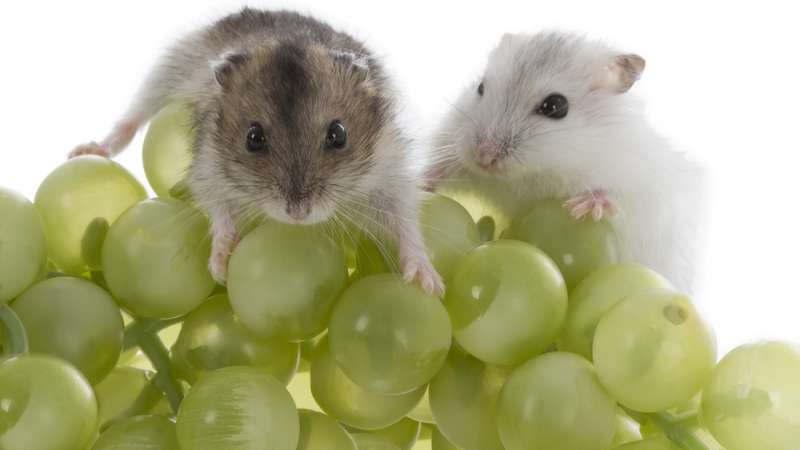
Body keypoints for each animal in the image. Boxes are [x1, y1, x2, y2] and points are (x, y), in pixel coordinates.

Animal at [69, 8, 443, 294]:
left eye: (339, 135)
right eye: (253, 138)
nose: (297, 213)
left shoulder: (390, 171)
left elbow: (406, 221)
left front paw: (428, 285)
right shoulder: (208, 166)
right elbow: (218, 208)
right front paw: (220, 264)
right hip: (167, 71)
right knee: (132, 119)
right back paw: (88, 150)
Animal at [428, 32, 706, 291]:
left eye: (555, 105)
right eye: (480, 88)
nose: (484, 158)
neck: (539, 171)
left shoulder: (642, 191)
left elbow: (615, 195)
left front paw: (583, 207)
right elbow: (451, 169)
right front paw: (428, 178)